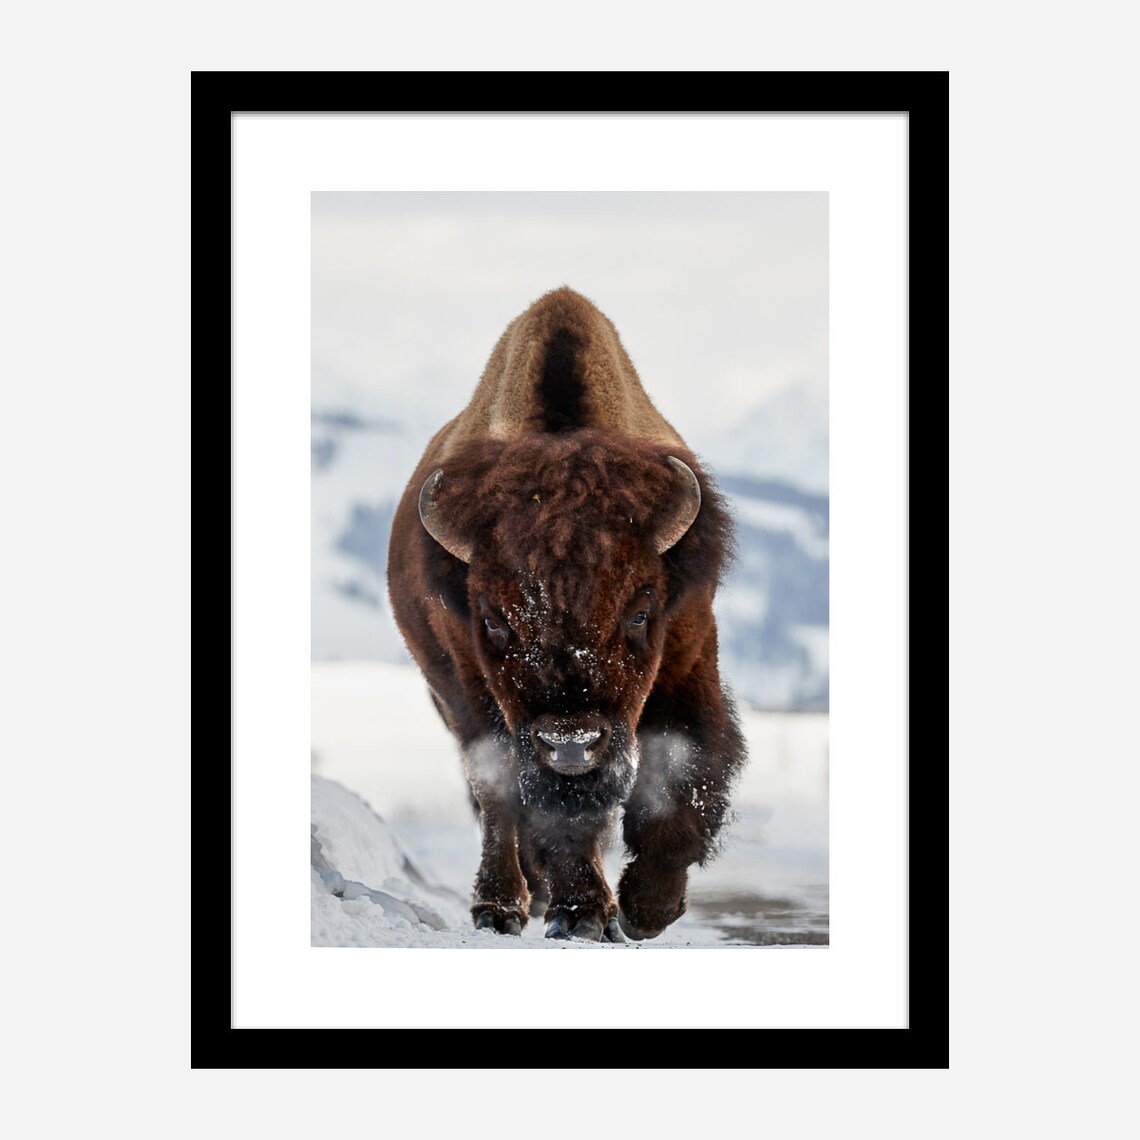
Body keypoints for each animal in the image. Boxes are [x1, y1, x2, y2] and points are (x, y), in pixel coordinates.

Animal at [387, 286, 746, 941]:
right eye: (494, 620)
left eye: (640, 611)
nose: (571, 745)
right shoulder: (480, 692)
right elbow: (538, 806)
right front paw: (582, 914)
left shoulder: (687, 657)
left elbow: (684, 770)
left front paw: (647, 908)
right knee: (496, 800)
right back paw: (503, 907)